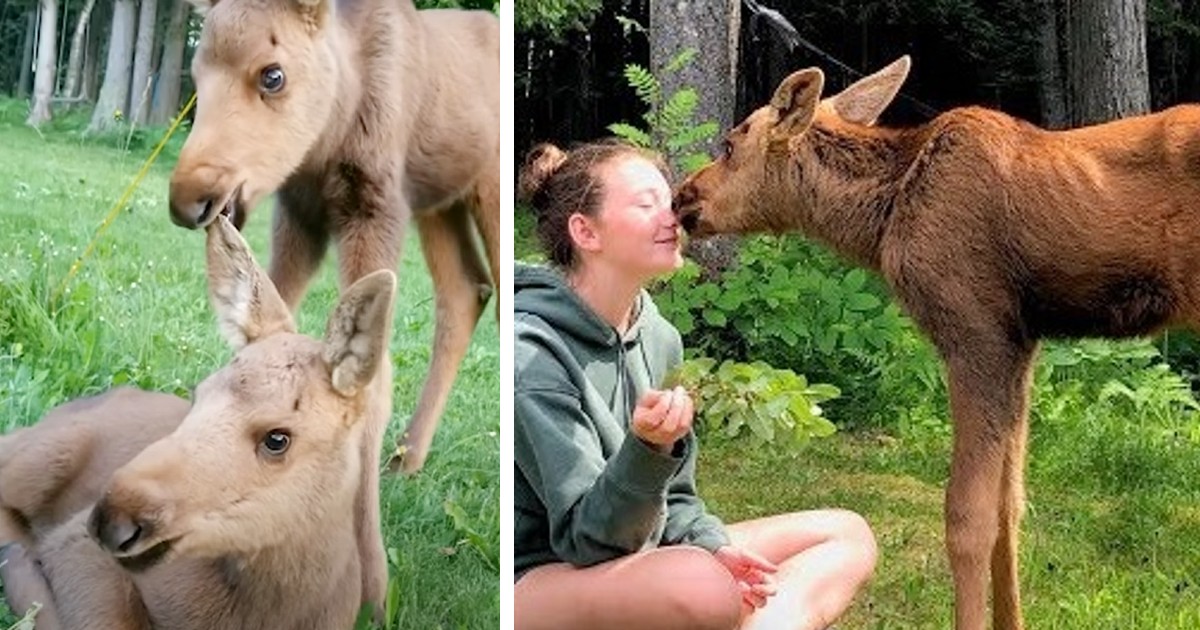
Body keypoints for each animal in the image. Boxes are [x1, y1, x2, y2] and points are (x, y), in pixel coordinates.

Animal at [165, 0, 500, 478]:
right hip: (440, 206)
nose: (188, 200)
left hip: (486, 192)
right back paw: (407, 456)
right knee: (465, 291)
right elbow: (272, 308)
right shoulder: (298, 213)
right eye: (197, 75)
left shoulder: (375, 207)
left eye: (273, 75)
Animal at [672, 55, 1200, 630]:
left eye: (730, 144)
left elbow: (968, 517)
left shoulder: (977, 334)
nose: (682, 195)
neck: (881, 219)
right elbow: (1010, 506)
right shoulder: (1021, 345)